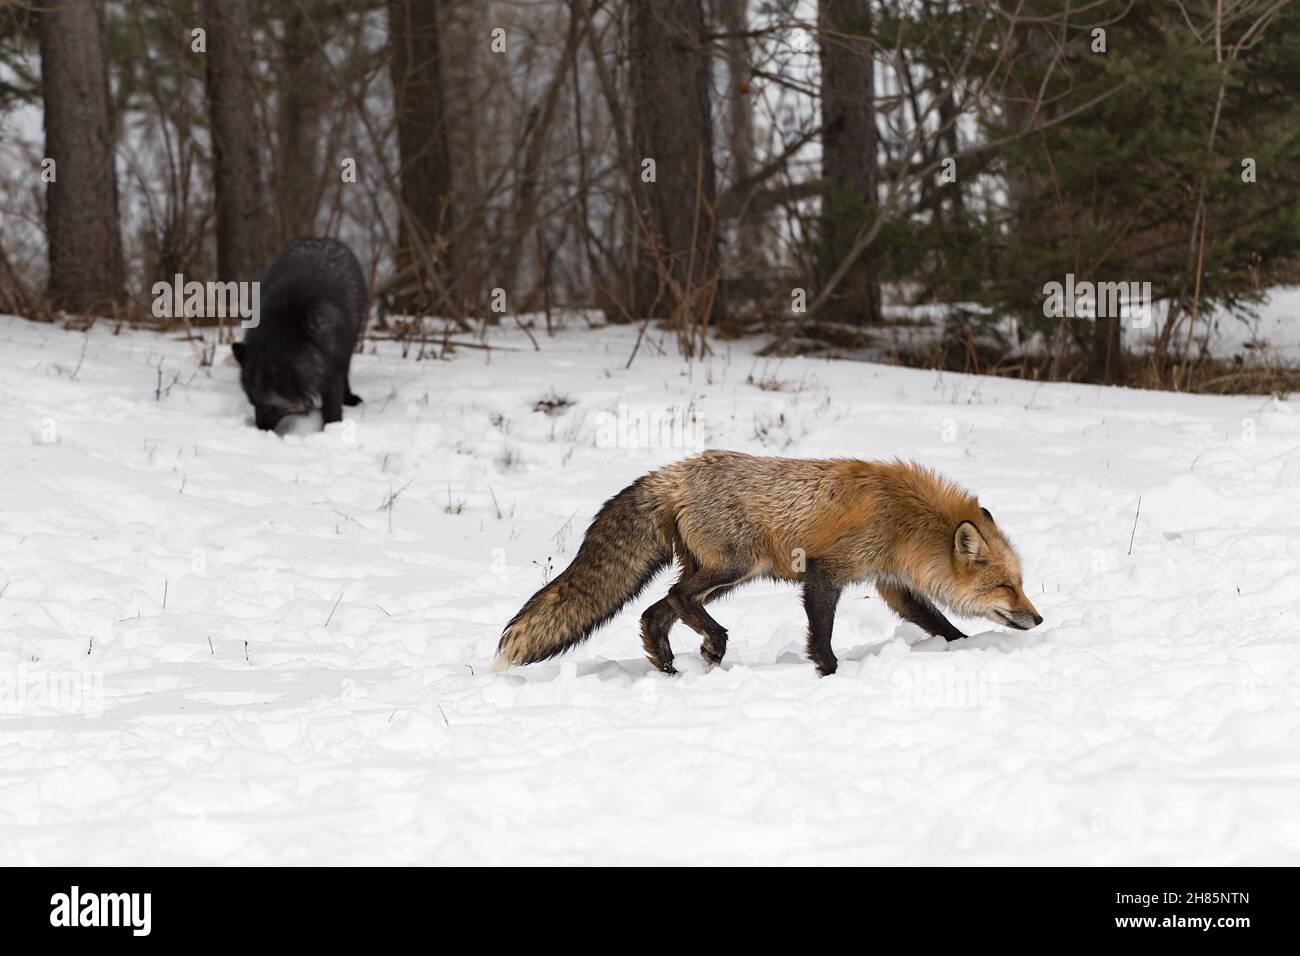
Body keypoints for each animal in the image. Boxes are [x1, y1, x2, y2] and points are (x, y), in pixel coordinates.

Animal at [494, 450, 1042, 676]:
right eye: (1006, 588)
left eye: (1020, 583)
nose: (1038, 619)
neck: (903, 519)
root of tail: (675, 472)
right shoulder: (826, 570)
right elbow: (822, 635)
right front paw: (828, 672)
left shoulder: (891, 583)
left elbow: (939, 623)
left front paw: (963, 648)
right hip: (734, 567)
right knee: (675, 597)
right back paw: (712, 645)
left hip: (726, 575)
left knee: (655, 611)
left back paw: (668, 664)